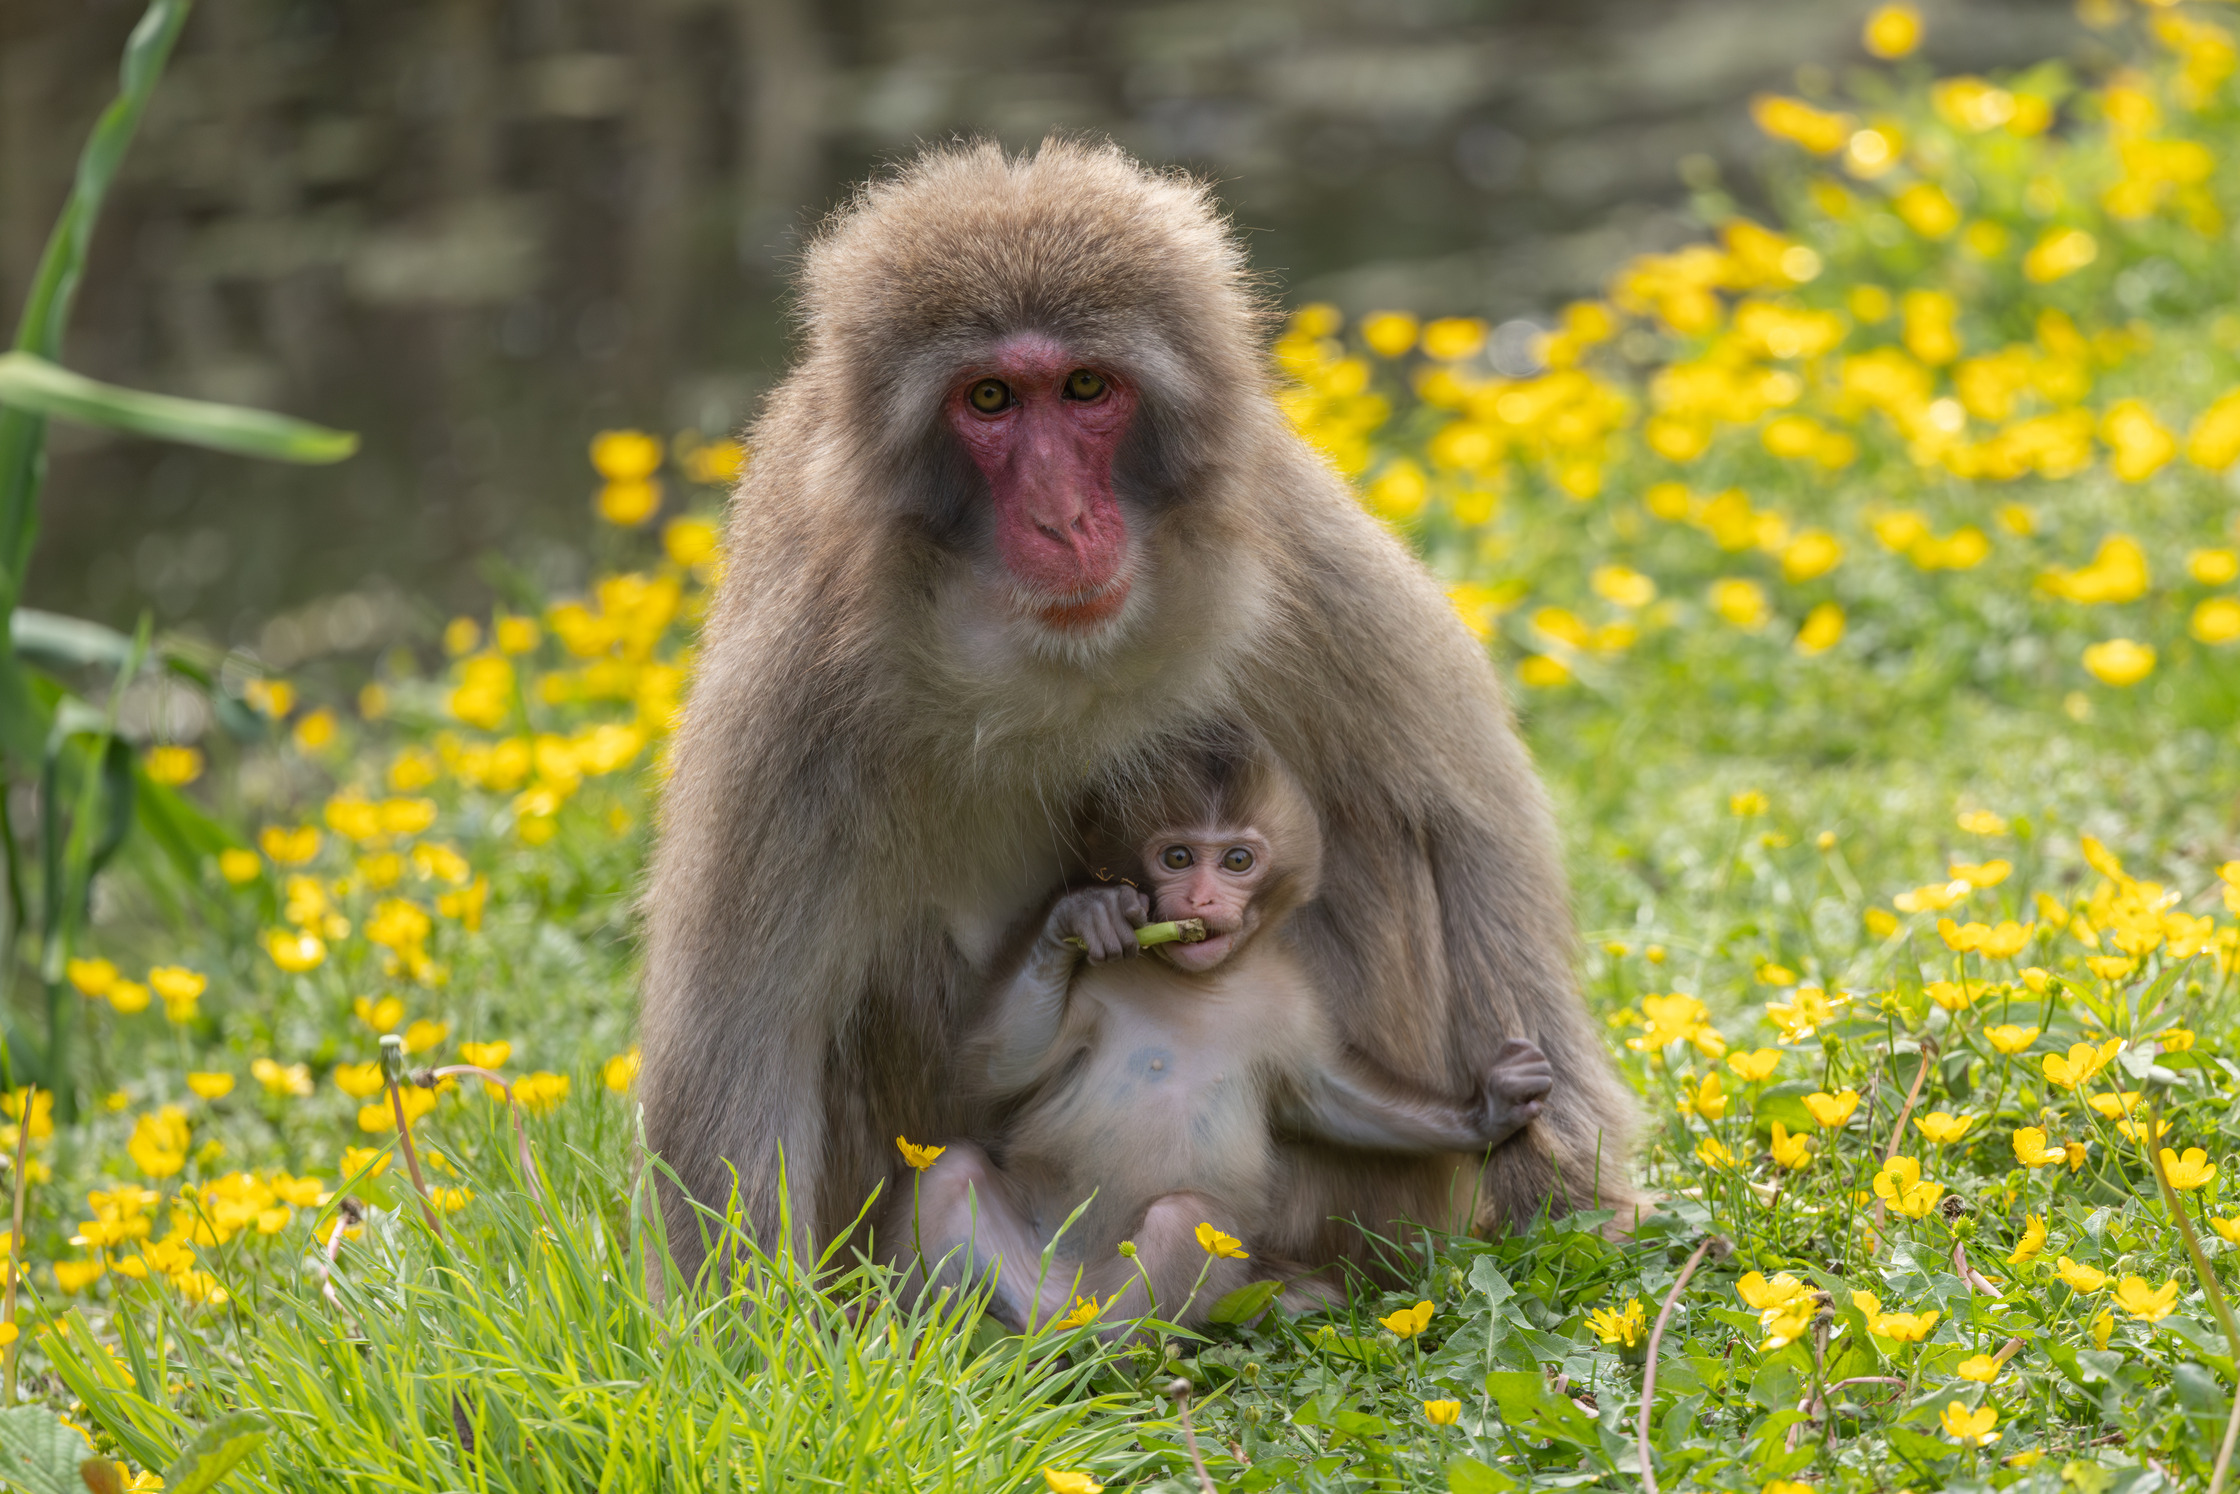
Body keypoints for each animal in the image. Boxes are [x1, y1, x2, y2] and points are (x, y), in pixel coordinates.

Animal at [892, 736, 1555, 1331]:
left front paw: (1488, 1111)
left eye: (1237, 861)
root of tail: (1059, 1304)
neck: (1202, 988)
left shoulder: (1293, 1007)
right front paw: (1078, 917)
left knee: (1182, 1219)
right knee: (949, 1173)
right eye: (1177, 858)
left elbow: (1336, 1100)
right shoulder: (1097, 988)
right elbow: (994, 1069)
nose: (1202, 900)